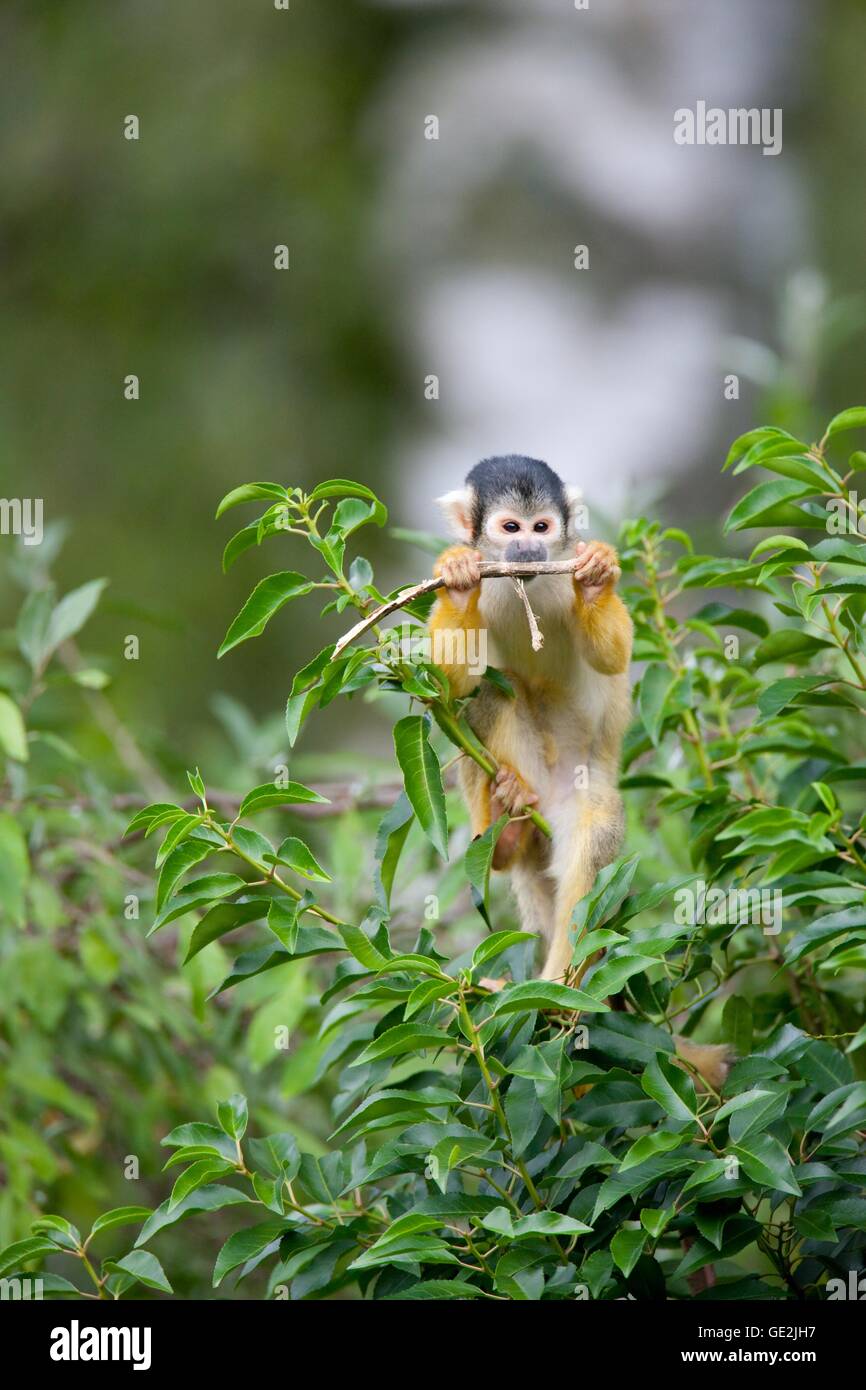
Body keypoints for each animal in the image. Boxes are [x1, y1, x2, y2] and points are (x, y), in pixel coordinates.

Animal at [428, 454, 731, 1091]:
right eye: (510, 529)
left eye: (543, 528)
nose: (528, 551)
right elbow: (452, 684)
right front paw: (461, 575)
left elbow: (611, 659)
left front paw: (597, 577)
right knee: (486, 695)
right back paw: (506, 828)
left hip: (578, 797)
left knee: (594, 840)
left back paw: (561, 989)